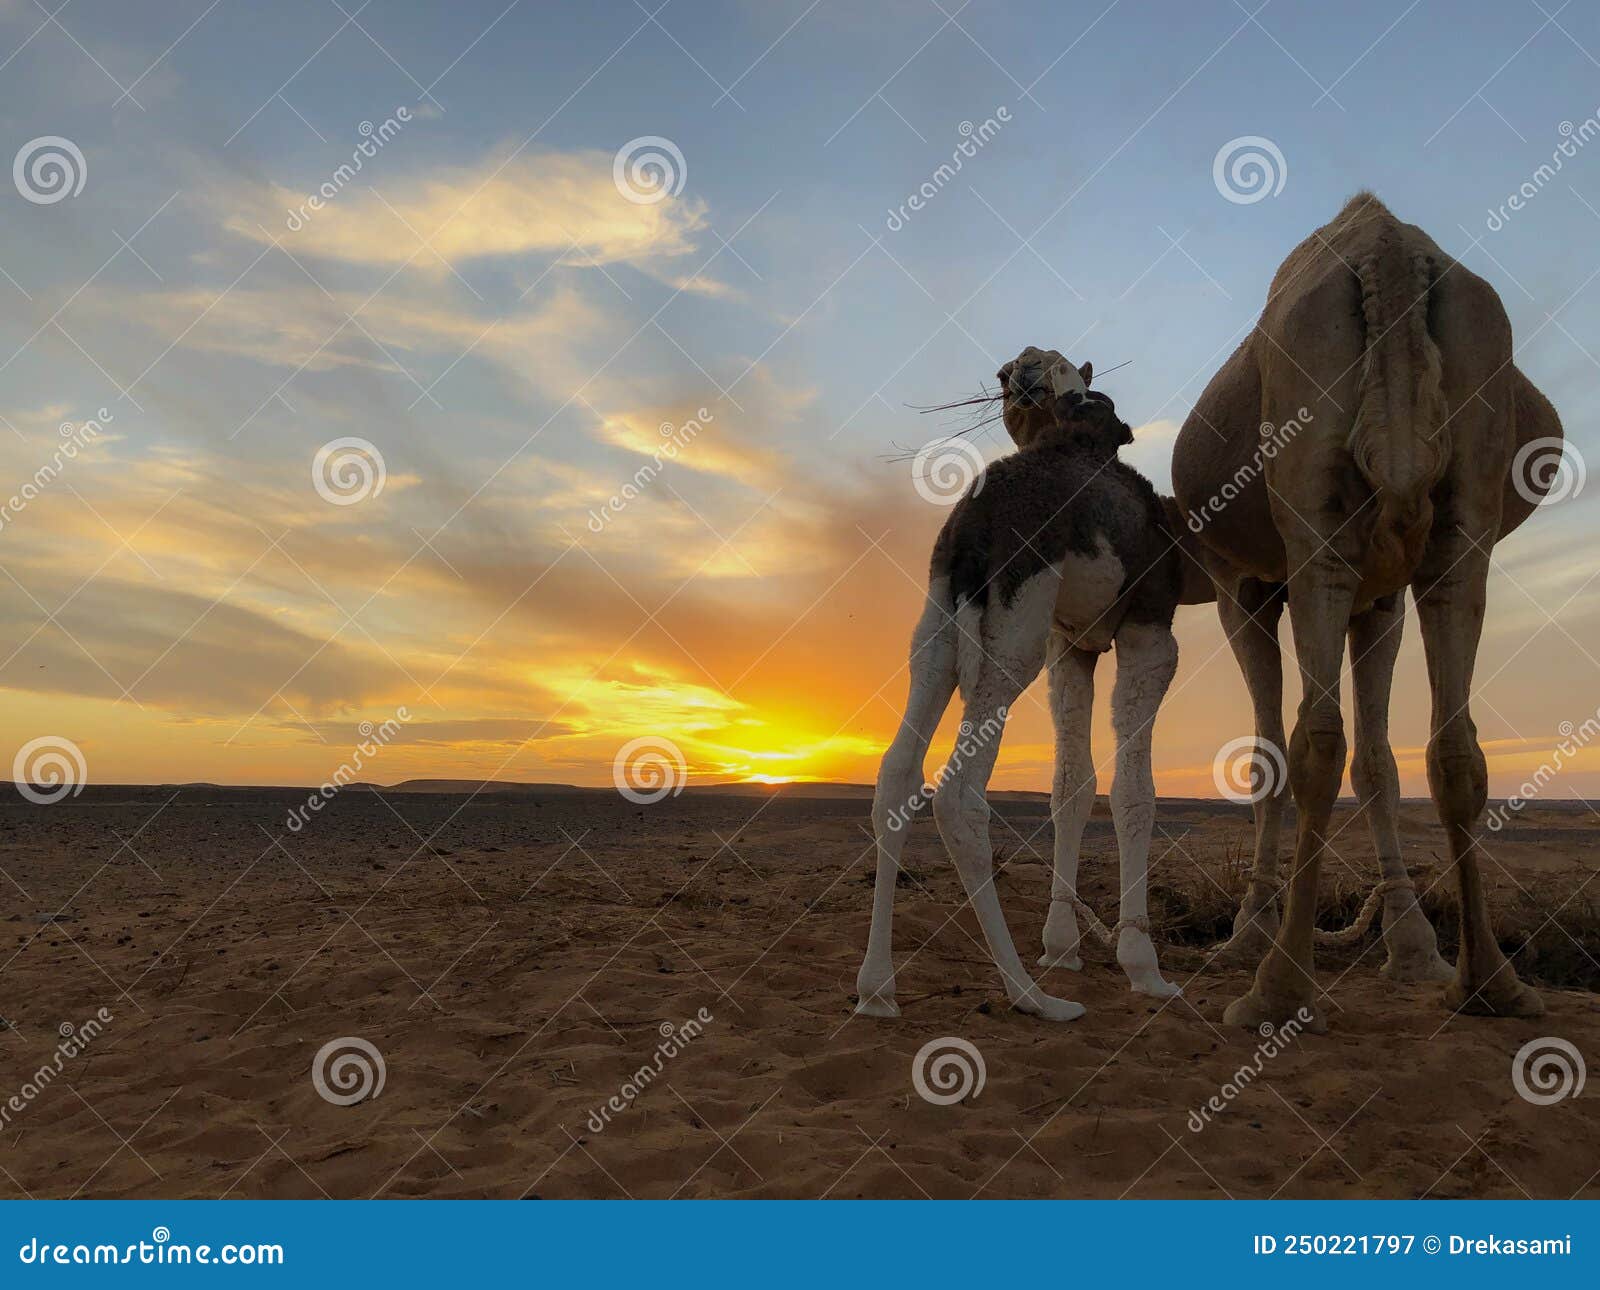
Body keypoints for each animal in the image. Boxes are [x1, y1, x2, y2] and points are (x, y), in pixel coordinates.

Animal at [855, 349, 1183, 1021]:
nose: (1024, 366)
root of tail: (969, 532)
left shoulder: (1074, 642)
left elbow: (1071, 782)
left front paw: (1067, 948)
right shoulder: (1149, 627)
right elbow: (1134, 790)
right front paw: (1145, 969)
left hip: (939, 628)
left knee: (897, 770)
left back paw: (876, 989)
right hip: (1014, 636)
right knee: (958, 795)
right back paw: (1031, 995)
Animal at [1170, 192, 1562, 1029]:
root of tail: (1390, 253)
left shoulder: (1241, 586)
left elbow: (1280, 756)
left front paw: (1250, 937)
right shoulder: (1382, 594)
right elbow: (1382, 760)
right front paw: (1414, 951)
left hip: (1308, 528)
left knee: (1313, 738)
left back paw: (1276, 985)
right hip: (1460, 524)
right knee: (1454, 745)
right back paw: (1490, 982)